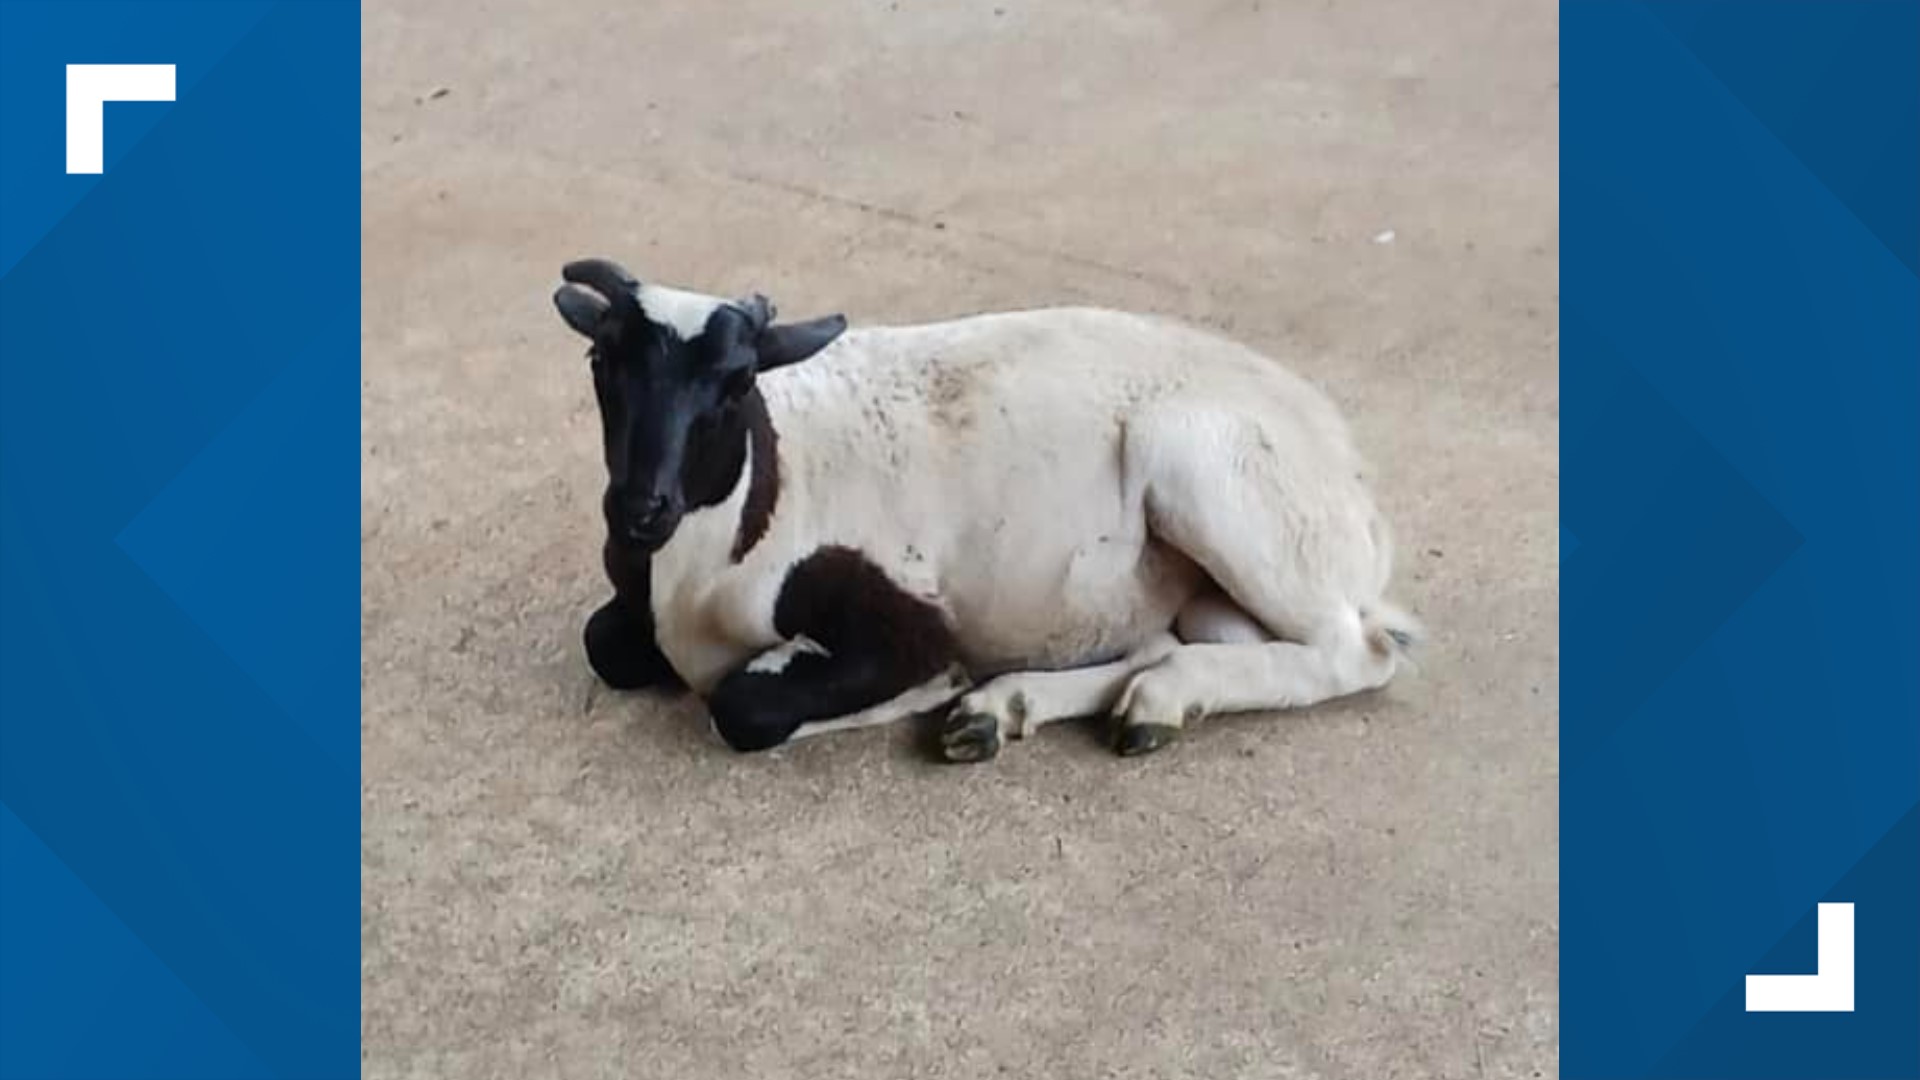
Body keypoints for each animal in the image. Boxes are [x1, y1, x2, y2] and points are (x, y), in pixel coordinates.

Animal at [552, 258, 1419, 760]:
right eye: (600, 359)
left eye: (736, 383)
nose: (640, 509)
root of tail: (1356, 479)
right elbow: (604, 642)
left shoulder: (903, 613)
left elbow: (745, 705)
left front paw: (930, 688)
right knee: (1174, 639)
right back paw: (1013, 711)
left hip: (1220, 486)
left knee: (1357, 652)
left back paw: (1142, 701)